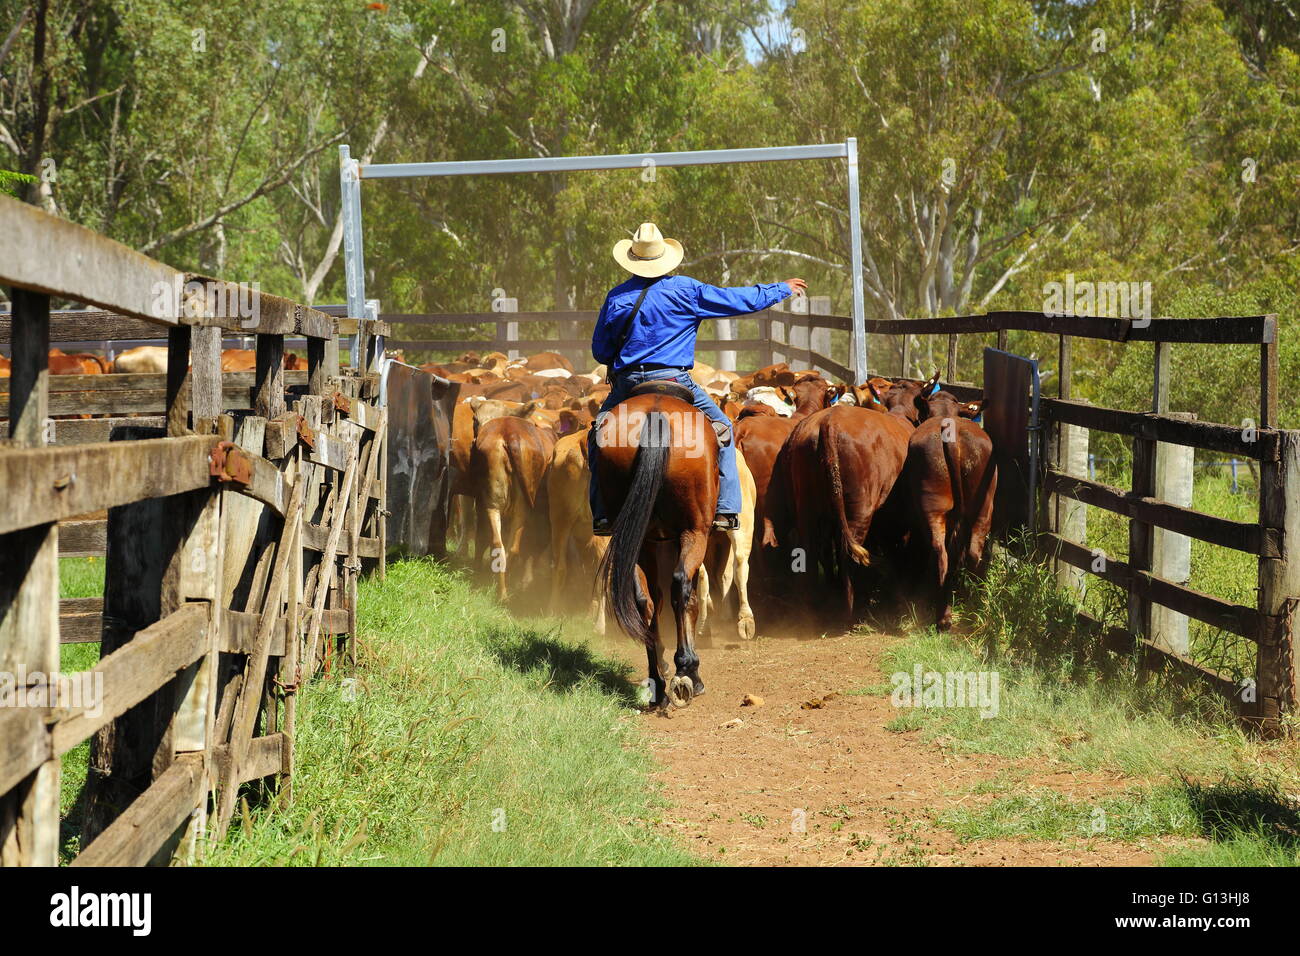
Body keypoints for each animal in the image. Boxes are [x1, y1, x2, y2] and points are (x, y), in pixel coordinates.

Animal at [905, 390, 997, 630]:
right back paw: (972, 604)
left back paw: (945, 614)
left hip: (934, 508)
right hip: (983, 504)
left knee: (941, 553)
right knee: (970, 550)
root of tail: (950, 431)